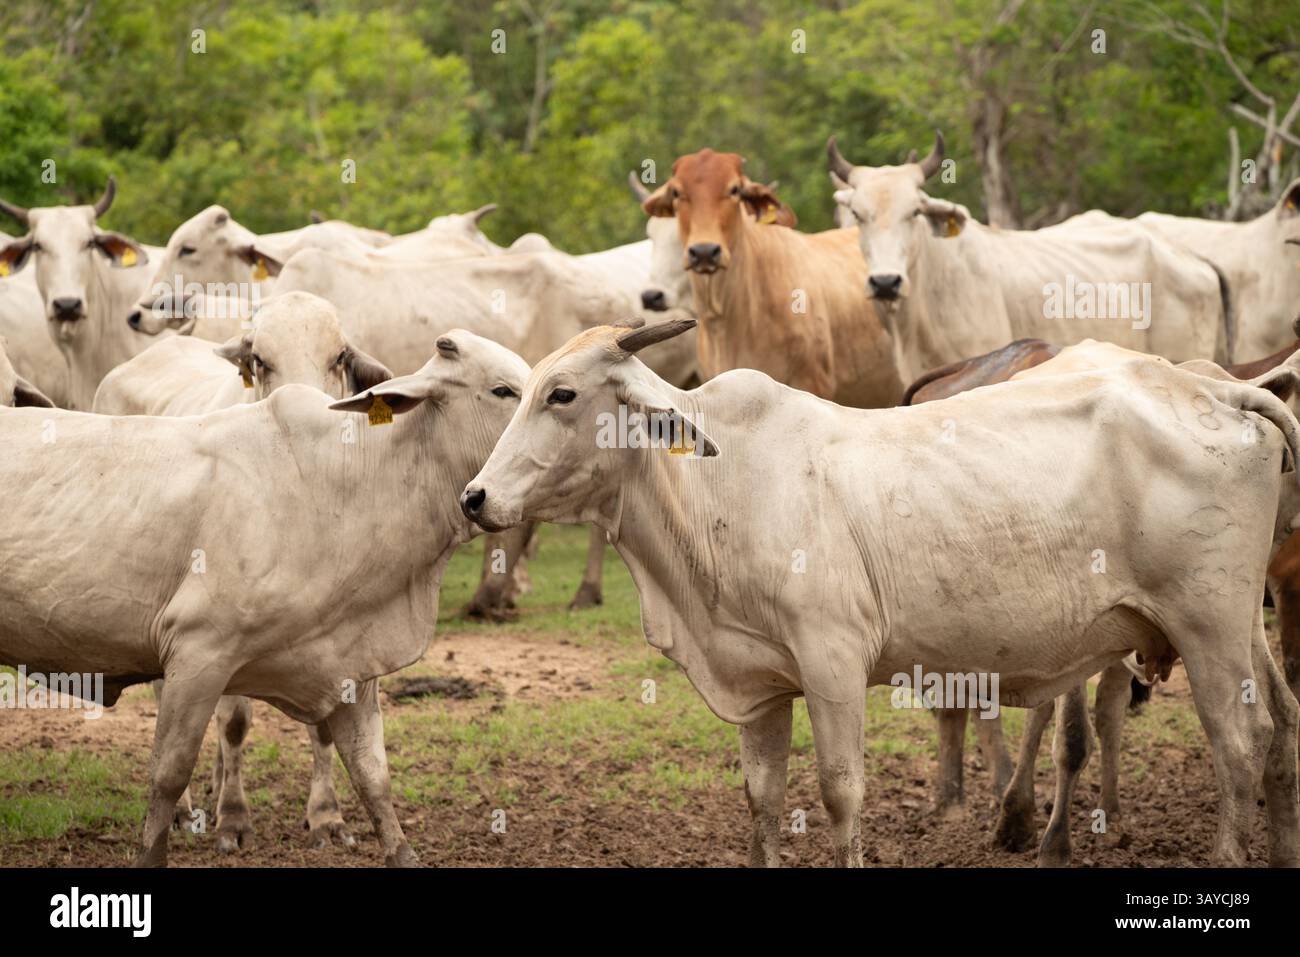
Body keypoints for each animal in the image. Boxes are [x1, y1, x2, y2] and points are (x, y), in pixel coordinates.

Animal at [0, 328, 530, 866]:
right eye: (503, 390)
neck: (349, 483)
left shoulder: (350, 668)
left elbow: (374, 780)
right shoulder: (199, 654)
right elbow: (168, 773)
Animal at [460, 318, 1300, 867]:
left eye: (562, 394)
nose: (474, 497)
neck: (718, 482)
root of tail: (1217, 389)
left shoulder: (832, 663)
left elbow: (840, 793)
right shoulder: (761, 686)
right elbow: (762, 800)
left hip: (1210, 625)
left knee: (1238, 741)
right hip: (1238, 623)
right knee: (1282, 720)